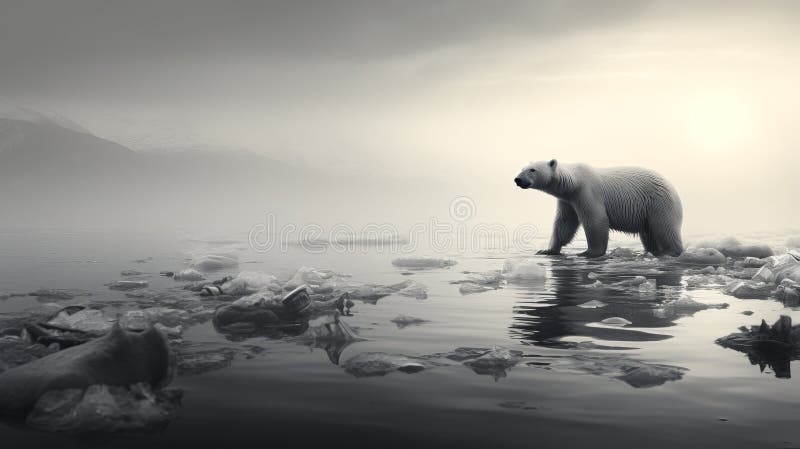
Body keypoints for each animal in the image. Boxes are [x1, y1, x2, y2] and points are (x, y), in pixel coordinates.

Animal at [514, 159, 683, 258]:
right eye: (522, 168)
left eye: (532, 170)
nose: (518, 179)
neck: (573, 183)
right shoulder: (567, 200)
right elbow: (565, 223)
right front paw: (548, 250)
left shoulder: (586, 192)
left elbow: (596, 220)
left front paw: (588, 252)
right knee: (649, 234)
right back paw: (652, 251)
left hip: (659, 203)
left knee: (664, 227)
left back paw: (670, 251)